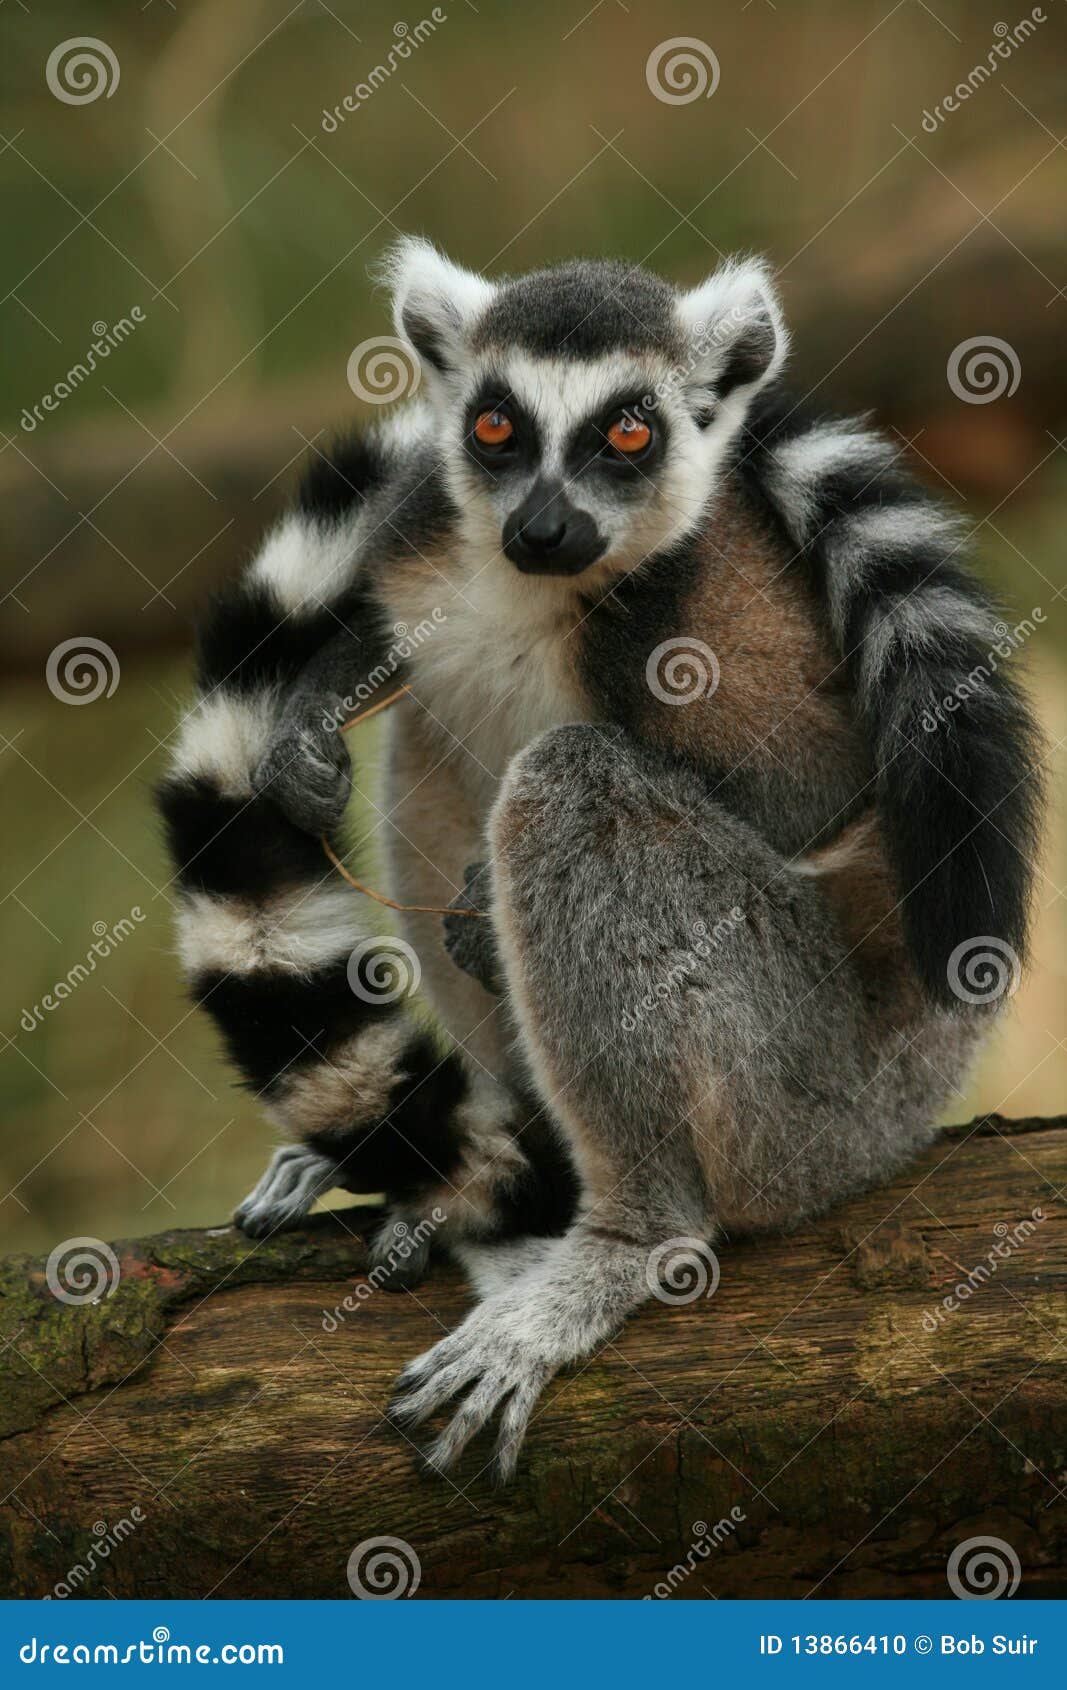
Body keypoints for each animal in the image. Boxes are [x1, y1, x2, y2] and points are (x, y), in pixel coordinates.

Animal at [157, 239, 1043, 1481]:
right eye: (494, 427)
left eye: (627, 434)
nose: (539, 526)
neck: (533, 589)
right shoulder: (427, 535)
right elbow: (382, 646)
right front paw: (299, 741)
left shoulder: (706, 608)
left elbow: (811, 788)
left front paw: (479, 914)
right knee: (435, 743)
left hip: (809, 1082)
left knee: (567, 789)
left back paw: (620, 1237)